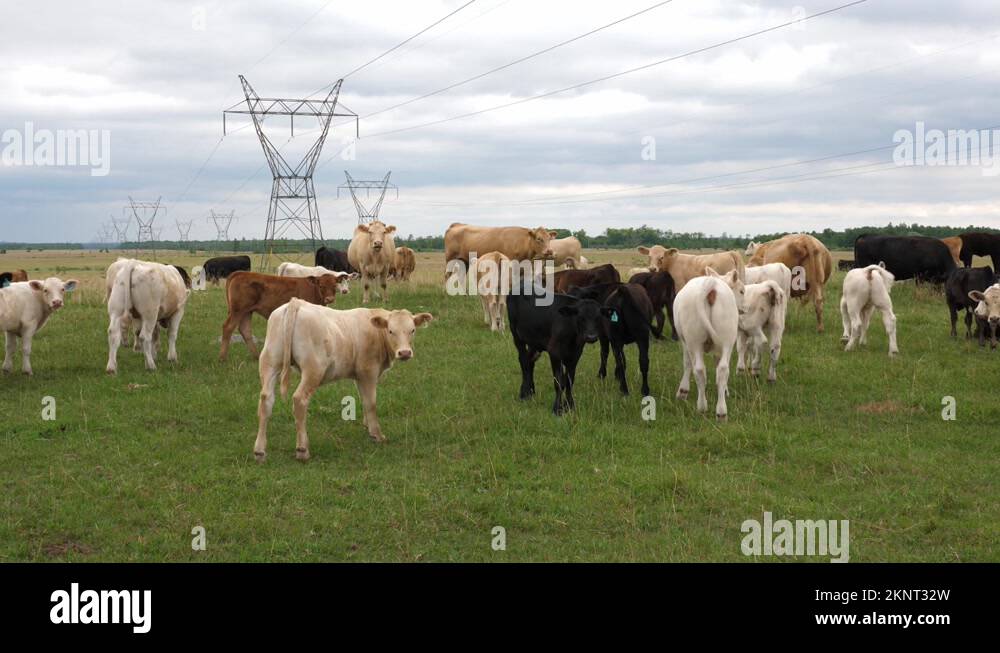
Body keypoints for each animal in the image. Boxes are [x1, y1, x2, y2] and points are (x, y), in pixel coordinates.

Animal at [219, 270, 355, 360]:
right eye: (321, 285)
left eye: (334, 285)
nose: (329, 299)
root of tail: (240, 273)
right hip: (238, 310)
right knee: (228, 327)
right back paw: (222, 358)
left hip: (247, 311)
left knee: (245, 330)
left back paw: (257, 356)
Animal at [253, 299, 433, 461]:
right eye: (390, 331)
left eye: (412, 330)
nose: (405, 353)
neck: (376, 332)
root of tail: (295, 303)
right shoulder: (368, 371)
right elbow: (371, 403)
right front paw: (376, 435)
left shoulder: (359, 376)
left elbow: (363, 399)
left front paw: (367, 425)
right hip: (313, 369)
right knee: (299, 400)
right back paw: (302, 449)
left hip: (270, 362)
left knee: (266, 399)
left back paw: (260, 451)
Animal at [673, 268, 744, 420]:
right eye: (742, 291)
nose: (745, 308)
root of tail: (711, 284)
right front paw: (724, 391)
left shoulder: (685, 342)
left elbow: (687, 363)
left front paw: (683, 391)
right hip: (726, 339)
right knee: (722, 369)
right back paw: (721, 411)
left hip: (694, 340)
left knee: (699, 369)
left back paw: (702, 407)